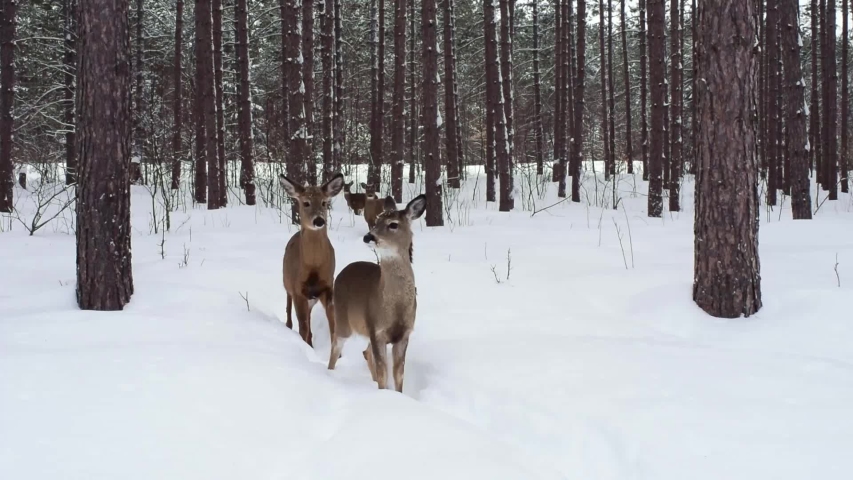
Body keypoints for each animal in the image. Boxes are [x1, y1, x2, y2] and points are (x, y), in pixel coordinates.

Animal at [279, 172, 345, 347]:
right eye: (306, 203)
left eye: (324, 202)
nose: (319, 220)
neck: (314, 266)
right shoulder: (298, 289)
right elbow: (303, 327)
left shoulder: (328, 285)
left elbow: (333, 325)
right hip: (287, 284)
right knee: (290, 314)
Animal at [327, 194, 426, 392]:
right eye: (377, 220)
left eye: (393, 224)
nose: (368, 236)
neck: (395, 306)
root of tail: (343, 271)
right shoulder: (377, 329)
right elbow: (383, 372)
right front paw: (384, 394)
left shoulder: (403, 334)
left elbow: (398, 374)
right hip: (343, 319)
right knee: (335, 346)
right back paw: (328, 374)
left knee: (365, 352)